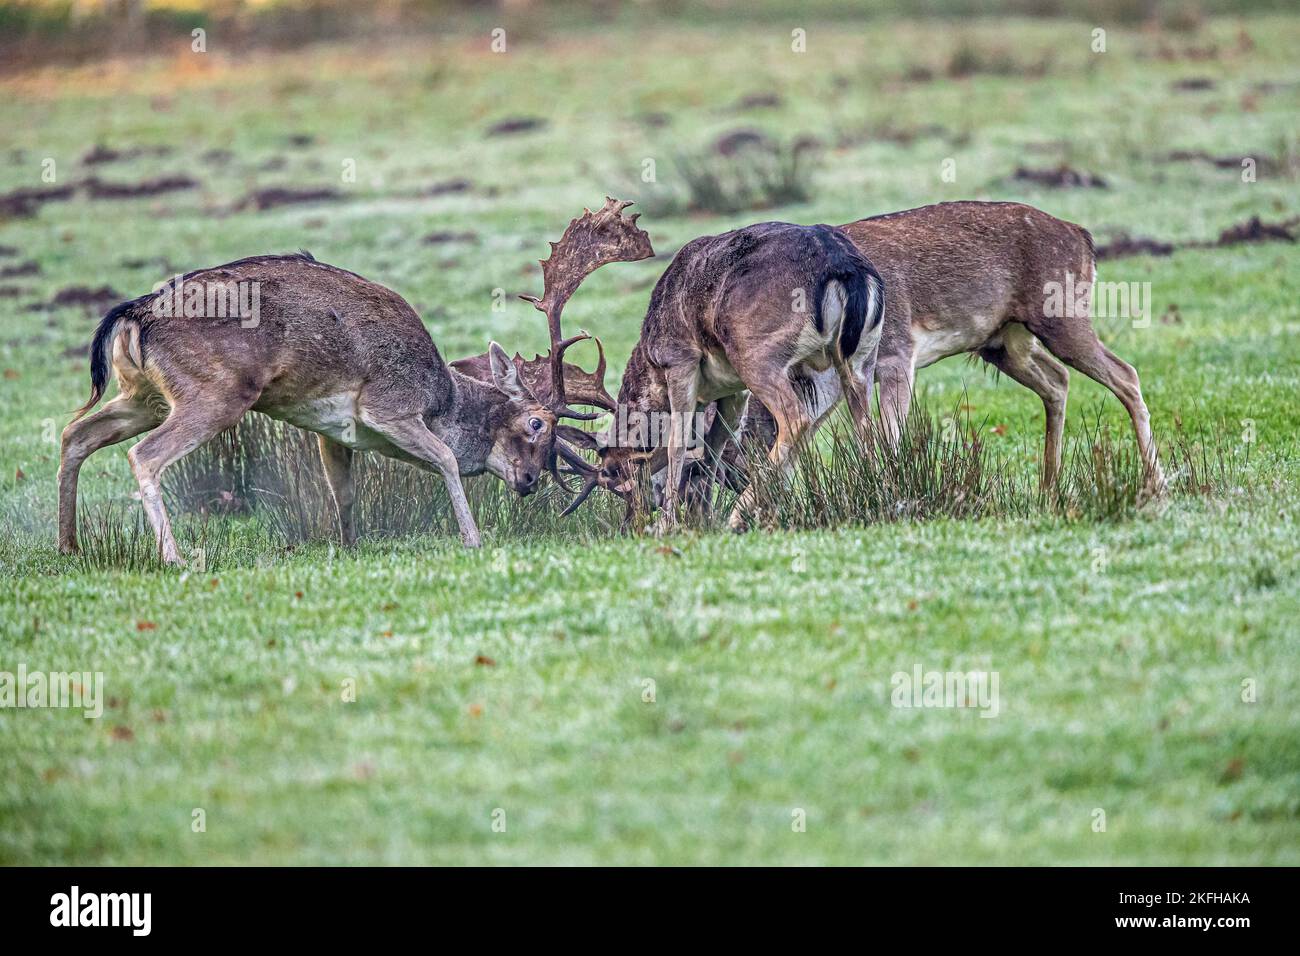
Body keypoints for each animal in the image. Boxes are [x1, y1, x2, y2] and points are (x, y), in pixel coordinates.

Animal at [57, 198, 651, 564]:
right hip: (216, 392)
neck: (441, 397)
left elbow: (343, 492)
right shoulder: (388, 406)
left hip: (143, 394)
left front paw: (349, 547)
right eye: (535, 424)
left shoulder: (332, 431)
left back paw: (69, 547)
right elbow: (446, 458)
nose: (529, 482)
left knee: (74, 435)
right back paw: (176, 557)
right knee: (144, 455)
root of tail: (135, 315)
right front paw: (473, 538)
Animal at [559, 220, 884, 532]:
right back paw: (875, 494)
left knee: (797, 419)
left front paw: (667, 524)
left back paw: (740, 515)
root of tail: (846, 267)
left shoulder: (679, 360)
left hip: (757, 355)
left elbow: (678, 442)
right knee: (866, 424)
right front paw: (702, 517)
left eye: (610, 472)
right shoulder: (732, 390)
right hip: (861, 357)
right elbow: (712, 447)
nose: (632, 521)